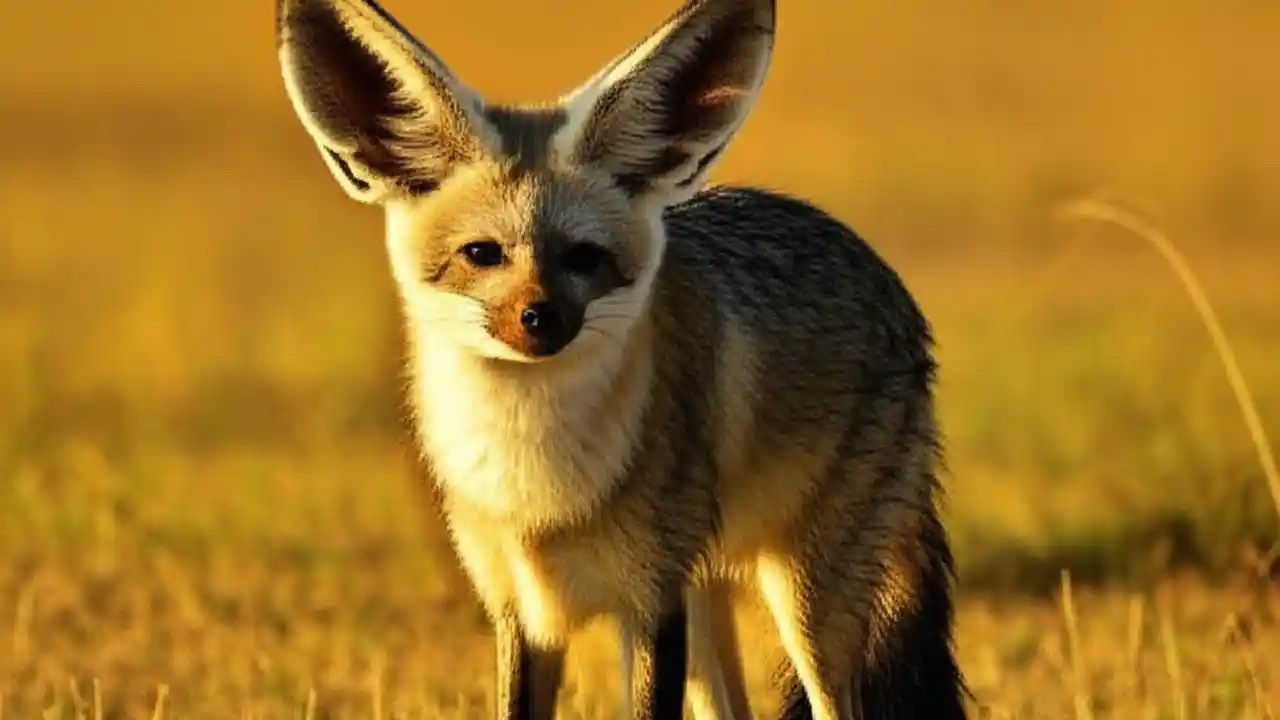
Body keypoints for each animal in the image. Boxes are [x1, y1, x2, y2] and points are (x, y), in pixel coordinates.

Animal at [276, 0, 966, 718]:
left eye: (583, 257)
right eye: (482, 255)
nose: (539, 320)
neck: (540, 487)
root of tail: (881, 273)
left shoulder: (651, 599)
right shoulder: (520, 609)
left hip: (804, 605)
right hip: (708, 602)